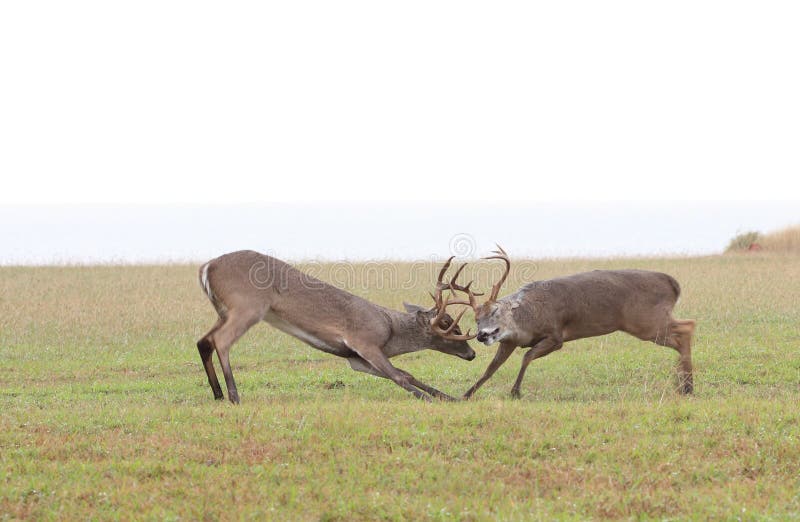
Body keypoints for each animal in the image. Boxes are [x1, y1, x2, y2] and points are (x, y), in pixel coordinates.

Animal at [196, 250, 477, 403]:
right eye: (449, 325)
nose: (472, 353)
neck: (391, 331)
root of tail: (206, 267)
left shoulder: (355, 359)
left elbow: (405, 374)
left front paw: (451, 397)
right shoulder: (363, 341)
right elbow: (398, 376)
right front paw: (430, 399)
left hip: (224, 310)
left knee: (203, 341)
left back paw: (218, 394)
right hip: (248, 307)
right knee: (221, 341)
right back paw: (234, 396)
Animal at [444, 246, 695, 399]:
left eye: (495, 310)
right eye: (476, 319)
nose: (482, 335)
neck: (528, 317)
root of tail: (674, 284)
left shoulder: (556, 337)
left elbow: (527, 356)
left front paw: (515, 392)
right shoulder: (509, 341)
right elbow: (490, 368)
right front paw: (465, 395)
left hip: (646, 322)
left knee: (687, 327)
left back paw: (686, 386)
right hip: (651, 321)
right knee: (685, 330)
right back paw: (684, 385)